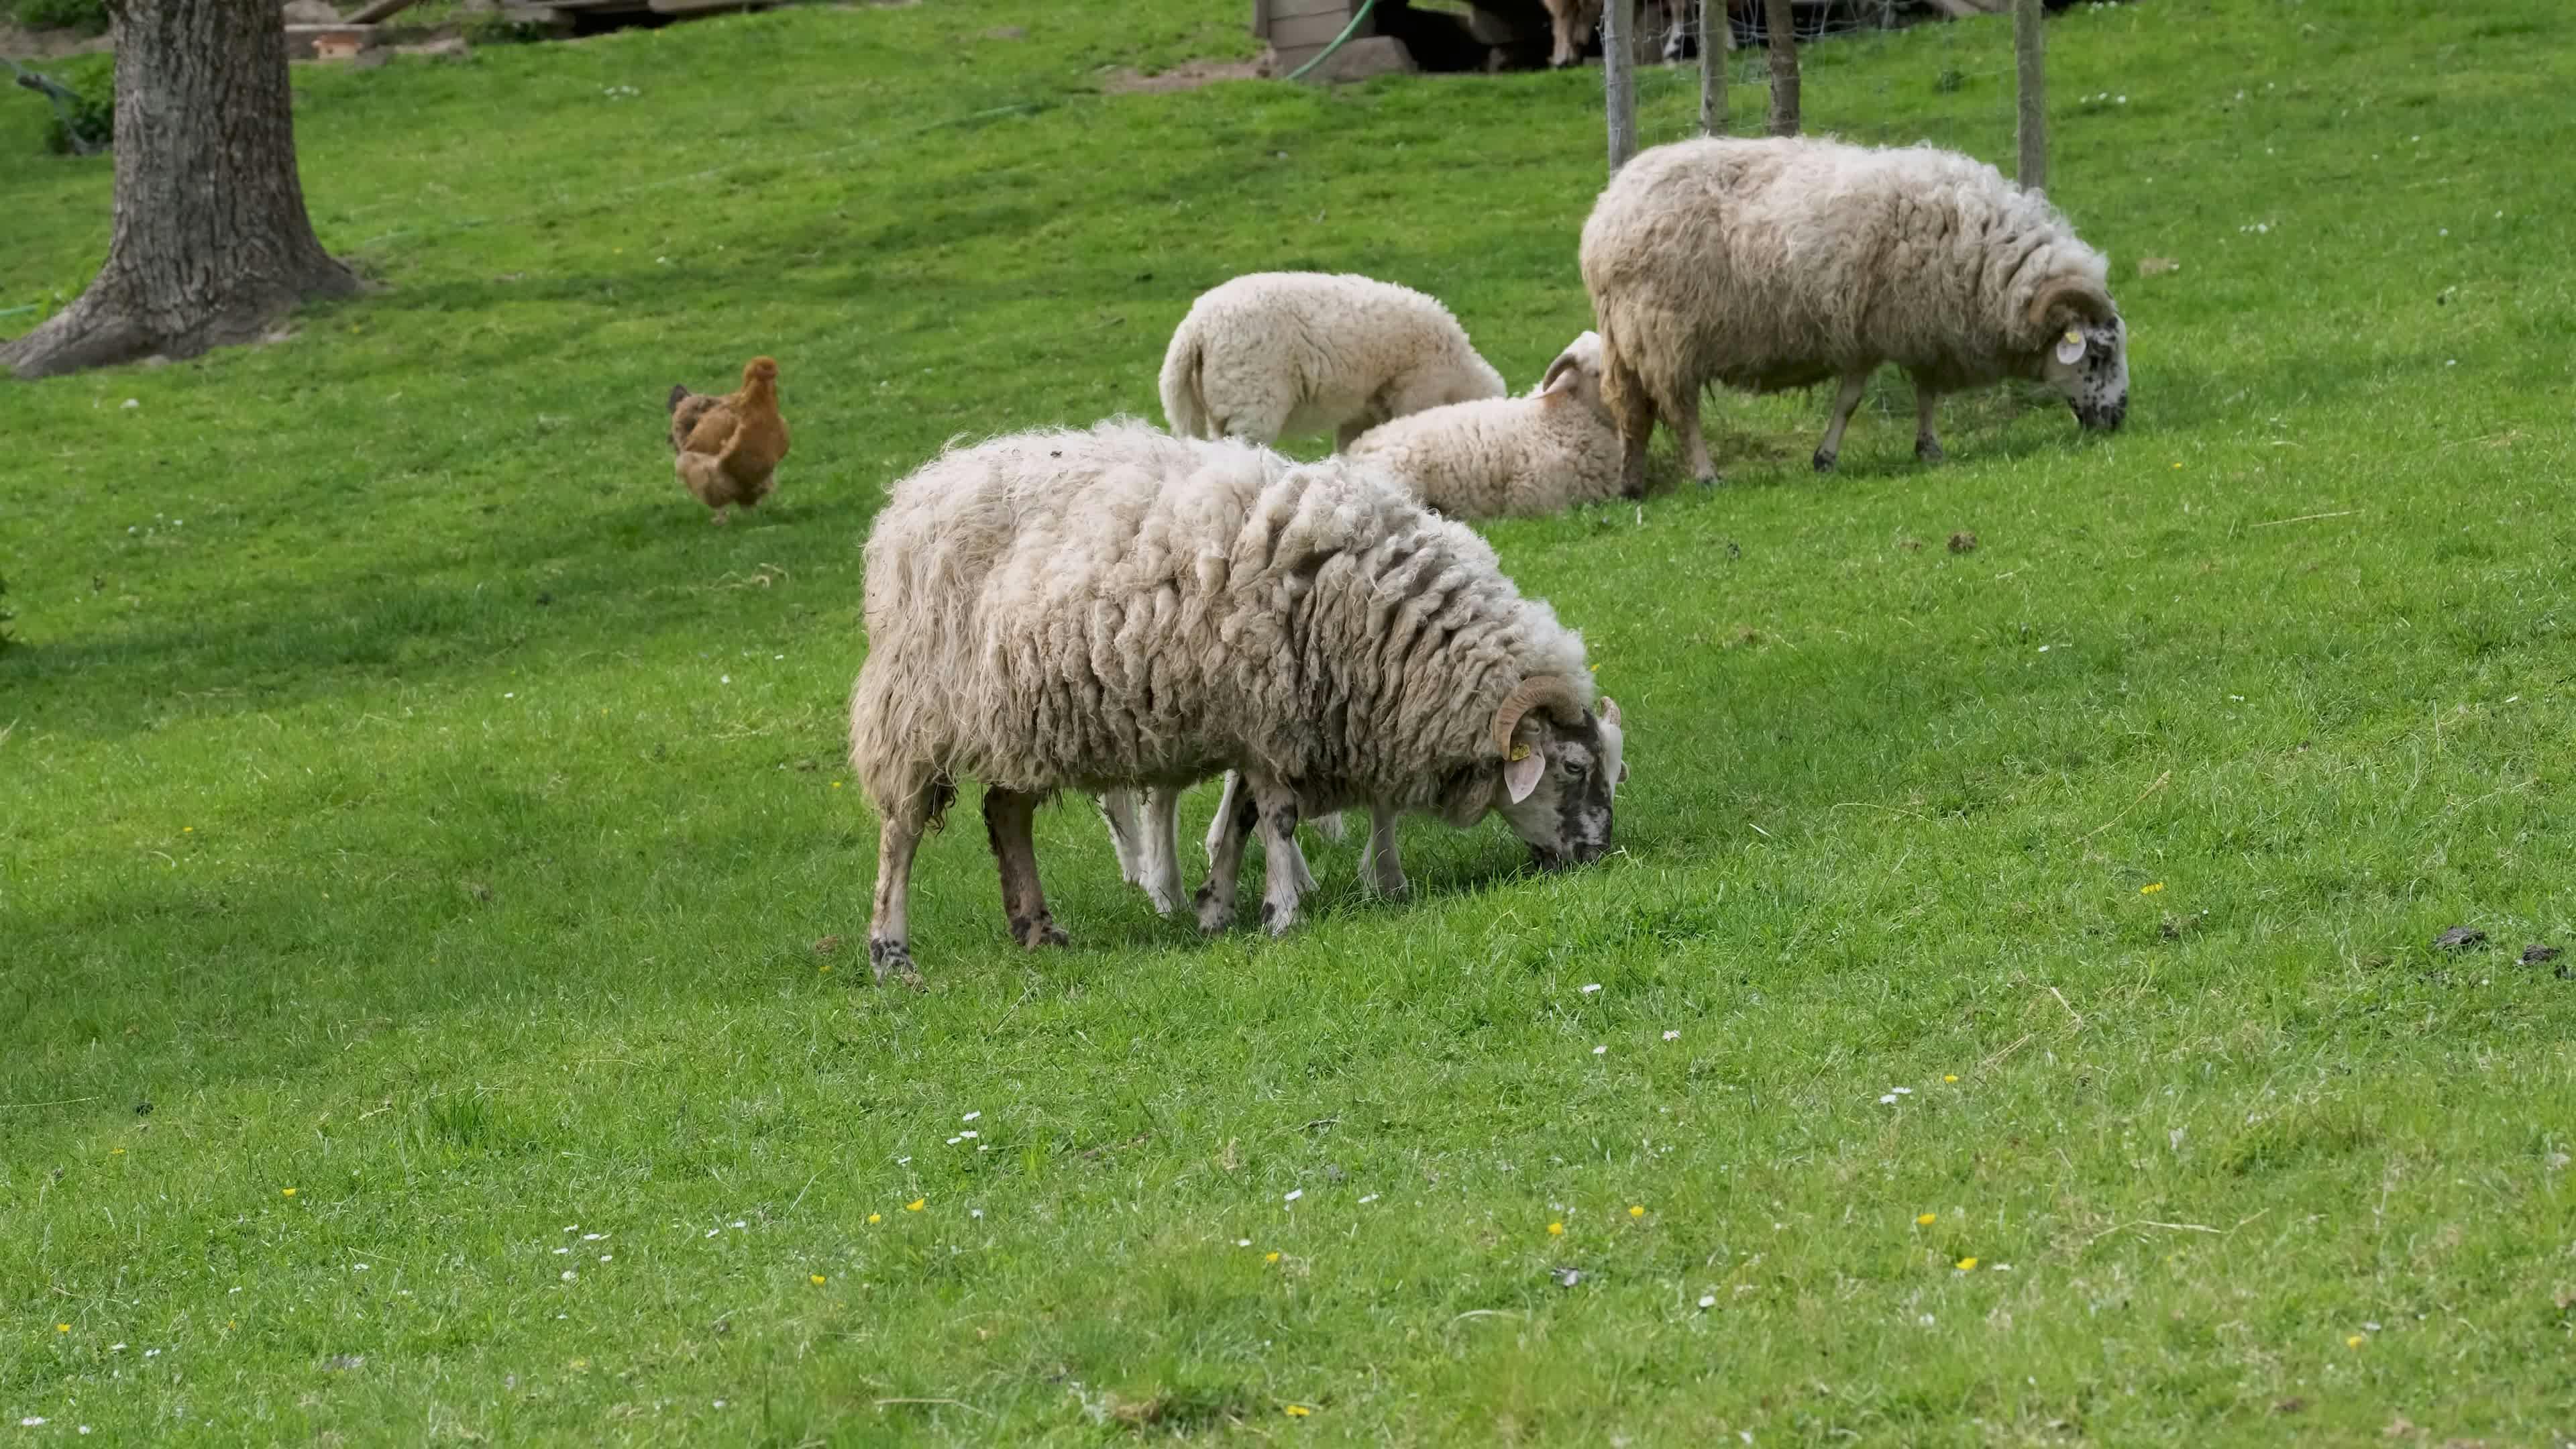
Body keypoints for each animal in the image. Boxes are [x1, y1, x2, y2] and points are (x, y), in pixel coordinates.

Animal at [848, 419, 1626, 982]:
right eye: (1574, 768)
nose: (1599, 856)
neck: (1375, 609)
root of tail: (919, 491)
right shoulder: (1264, 710)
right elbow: (1276, 818)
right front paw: (1281, 915)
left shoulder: (1260, 724)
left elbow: (1247, 817)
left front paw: (1216, 909)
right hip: (915, 710)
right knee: (901, 832)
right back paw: (892, 954)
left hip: (1023, 718)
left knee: (1004, 813)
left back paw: (1036, 929)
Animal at [1577, 134, 2131, 491]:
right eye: (2097, 356)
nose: (2118, 419)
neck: (1986, 259)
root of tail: (1605, 214)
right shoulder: (1894, 327)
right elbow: (1862, 400)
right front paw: (1833, 457)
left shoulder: (1900, 332)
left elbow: (1910, 394)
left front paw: (1921, 448)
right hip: (1665, 338)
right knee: (1682, 412)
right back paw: (1706, 475)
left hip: (1629, 340)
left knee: (1633, 412)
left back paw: (1632, 484)